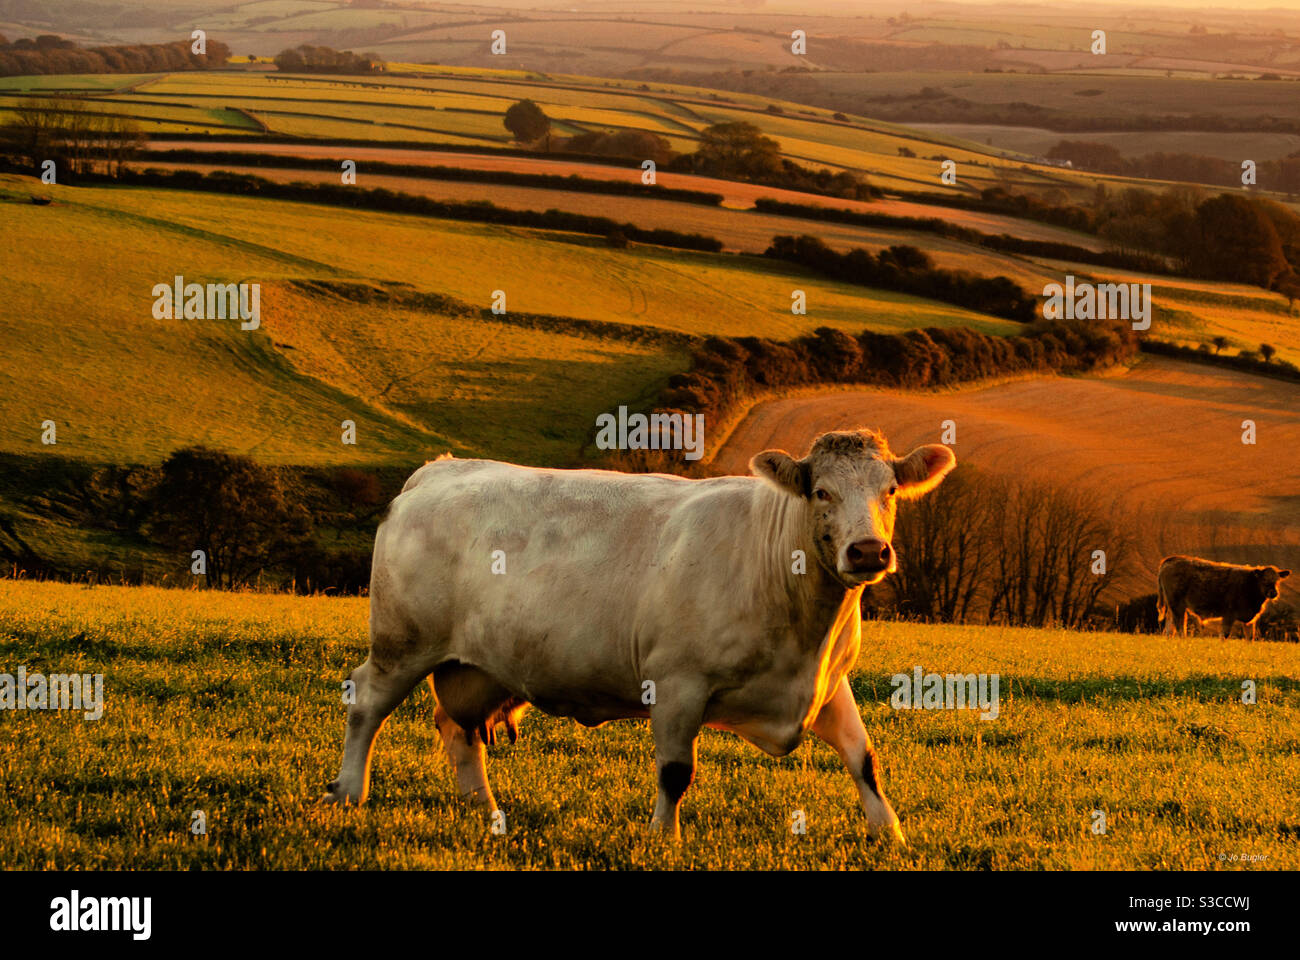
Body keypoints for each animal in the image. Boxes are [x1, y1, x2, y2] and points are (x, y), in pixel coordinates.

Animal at [321, 428, 956, 842]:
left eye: (890, 491)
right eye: (821, 491)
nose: (868, 551)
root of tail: (442, 467)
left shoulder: (831, 683)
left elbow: (863, 757)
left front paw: (890, 833)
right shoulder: (677, 683)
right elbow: (676, 772)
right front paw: (662, 838)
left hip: (474, 665)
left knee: (458, 728)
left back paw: (485, 806)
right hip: (401, 643)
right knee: (366, 703)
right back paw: (349, 790)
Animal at [1156, 555, 1291, 640]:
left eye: (1277, 580)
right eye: (1264, 580)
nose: (1273, 593)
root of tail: (1172, 559)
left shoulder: (1249, 619)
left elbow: (1250, 637)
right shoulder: (1228, 615)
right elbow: (1224, 635)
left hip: (1172, 605)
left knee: (1169, 625)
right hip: (1177, 604)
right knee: (1179, 625)